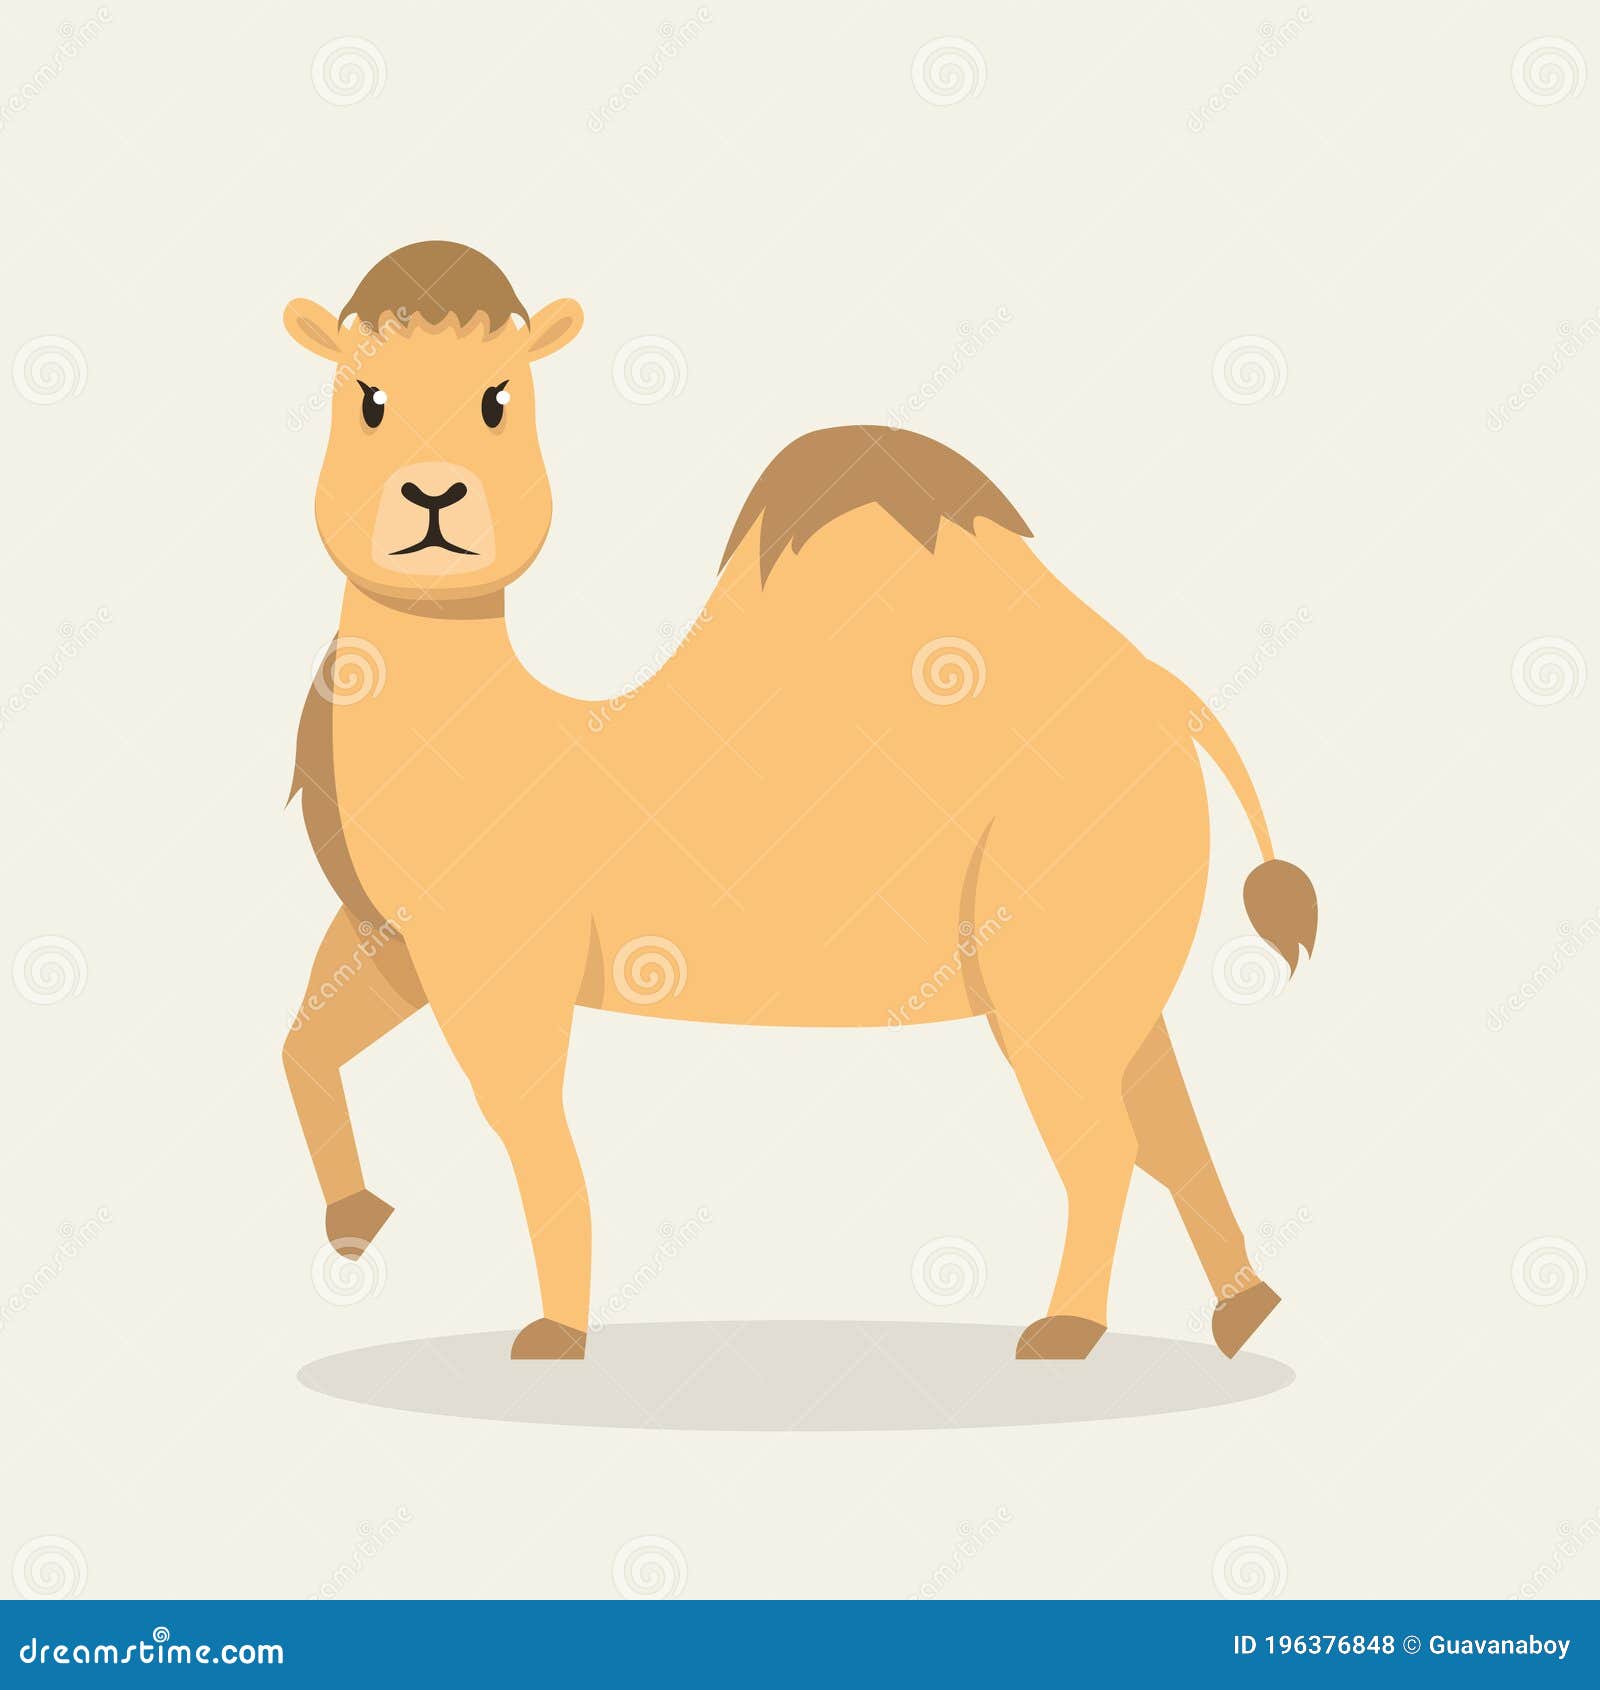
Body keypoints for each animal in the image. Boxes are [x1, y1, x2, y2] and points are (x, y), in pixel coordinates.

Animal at [282, 242, 1316, 1364]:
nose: (433, 497)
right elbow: (304, 1043)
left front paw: (555, 1333)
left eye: (499, 397)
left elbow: (534, 1139)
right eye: (366, 396)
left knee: (1105, 1140)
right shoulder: (398, 941)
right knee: (1165, 1118)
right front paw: (354, 1223)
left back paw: (1068, 1330)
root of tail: (1177, 707)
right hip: (1100, 955)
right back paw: (1243, 1309)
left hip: (1048, 946)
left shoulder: (500, 964)